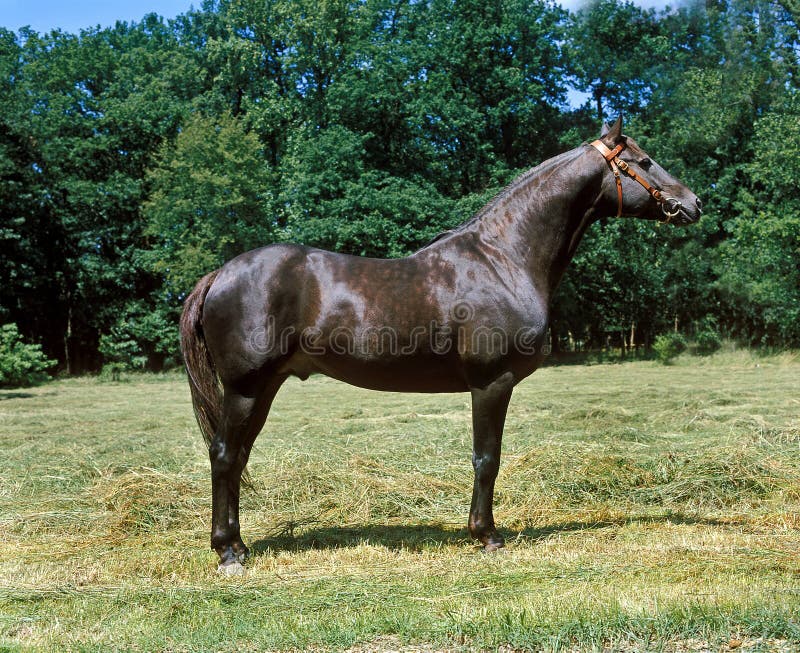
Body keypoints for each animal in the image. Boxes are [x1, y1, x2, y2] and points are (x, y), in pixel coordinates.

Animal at [180, 117, 703, 573]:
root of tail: (220, 274)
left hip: (263, 388)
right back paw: (227, 552)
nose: (694, 202)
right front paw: (486, 535)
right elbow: (487, 459)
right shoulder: (492, 383)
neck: (504, 258)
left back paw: (238, 546)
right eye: (645, 160)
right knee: (224, 455)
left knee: (237, 457)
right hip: (245, 388)